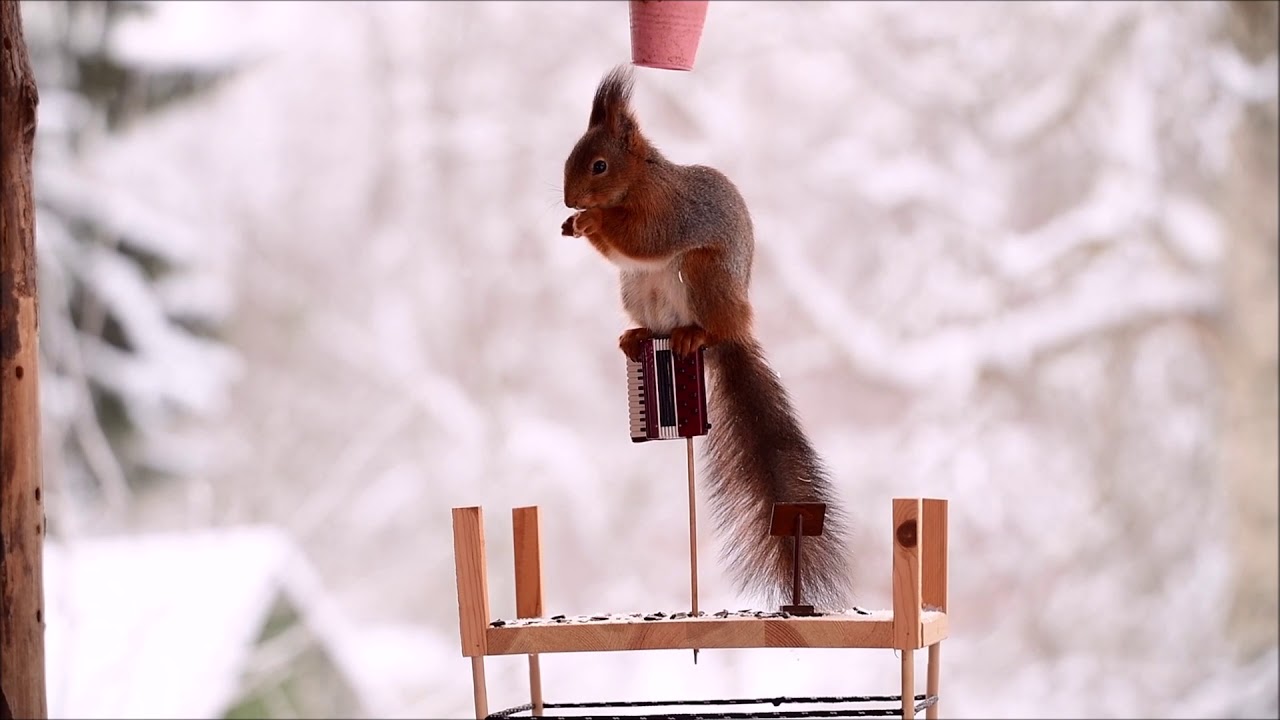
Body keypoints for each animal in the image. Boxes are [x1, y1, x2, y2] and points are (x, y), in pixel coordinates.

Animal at [560, 65, 854, 610]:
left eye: (598, 165)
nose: (569, 201)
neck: (642, 179)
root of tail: (733, 327)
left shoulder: (669, 212)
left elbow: (642, 237)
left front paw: (591, 219)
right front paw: (573, 223)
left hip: (703, 275)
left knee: (705, 324)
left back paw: (691, 336)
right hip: (637, 289)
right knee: (652, 325)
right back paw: (638, 337)